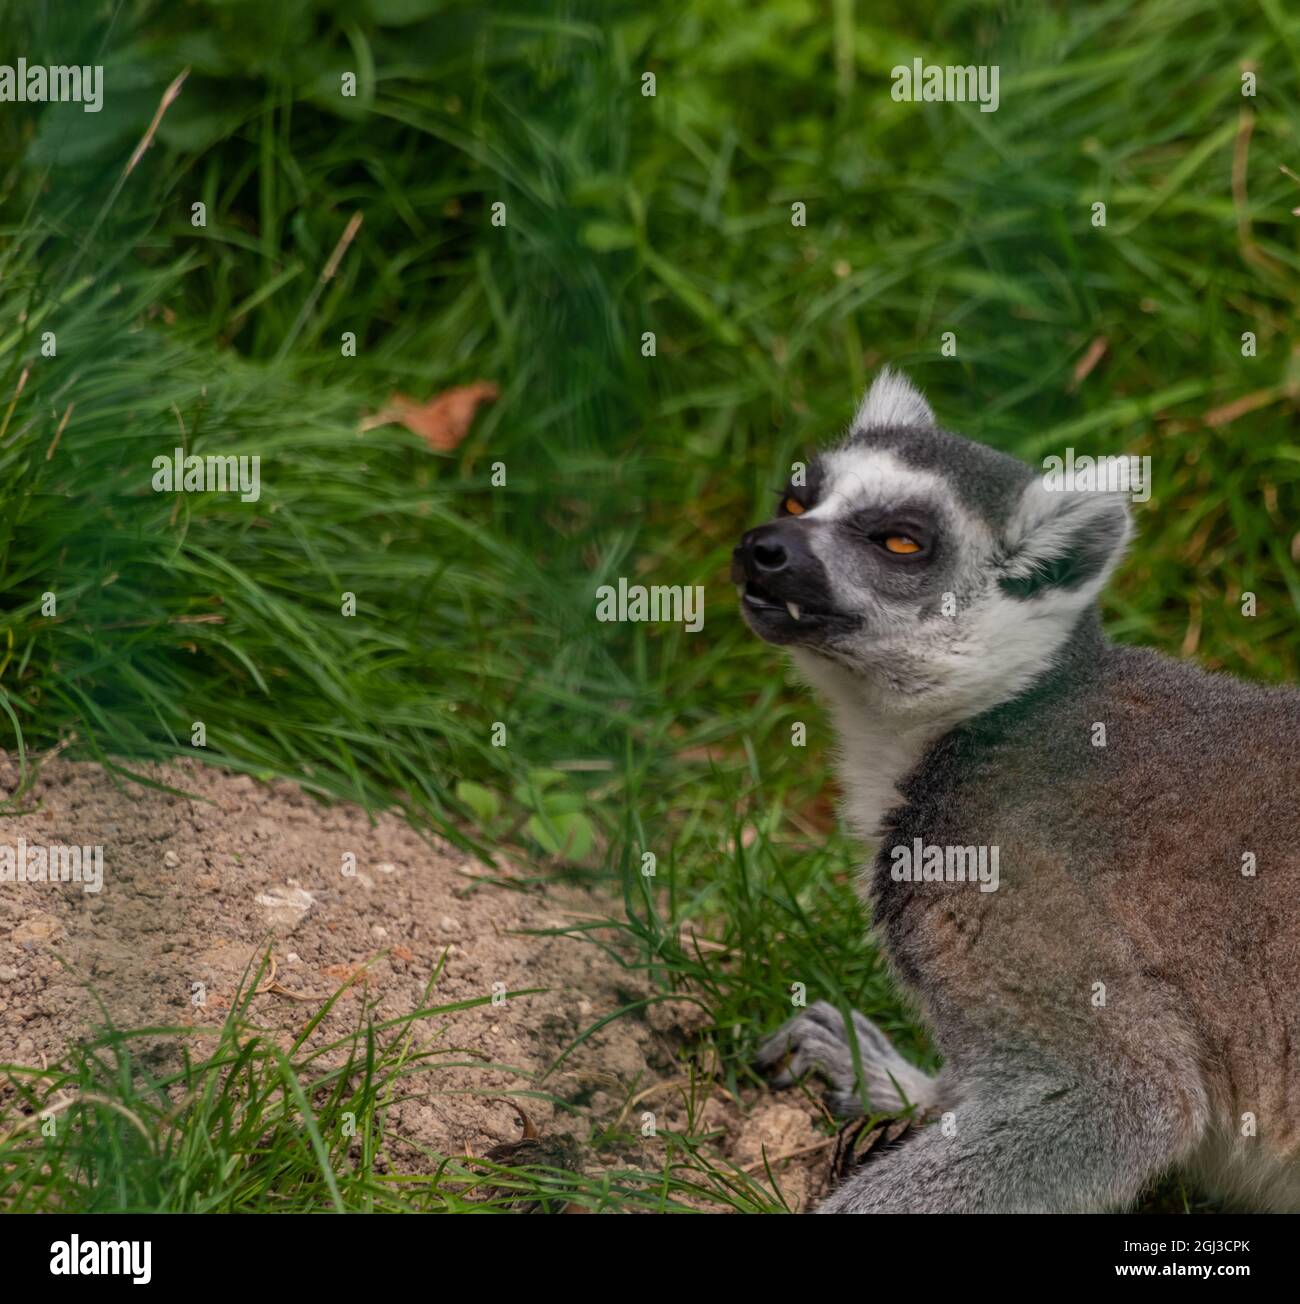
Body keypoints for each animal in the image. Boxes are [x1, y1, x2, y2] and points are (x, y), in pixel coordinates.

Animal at [735, 370, 1300, 1212]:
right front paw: (897, 1084)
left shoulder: (1005, 870)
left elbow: (1122, 1101)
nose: (762, 548)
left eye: (900, 541)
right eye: (797, 501)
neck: (981, 722)